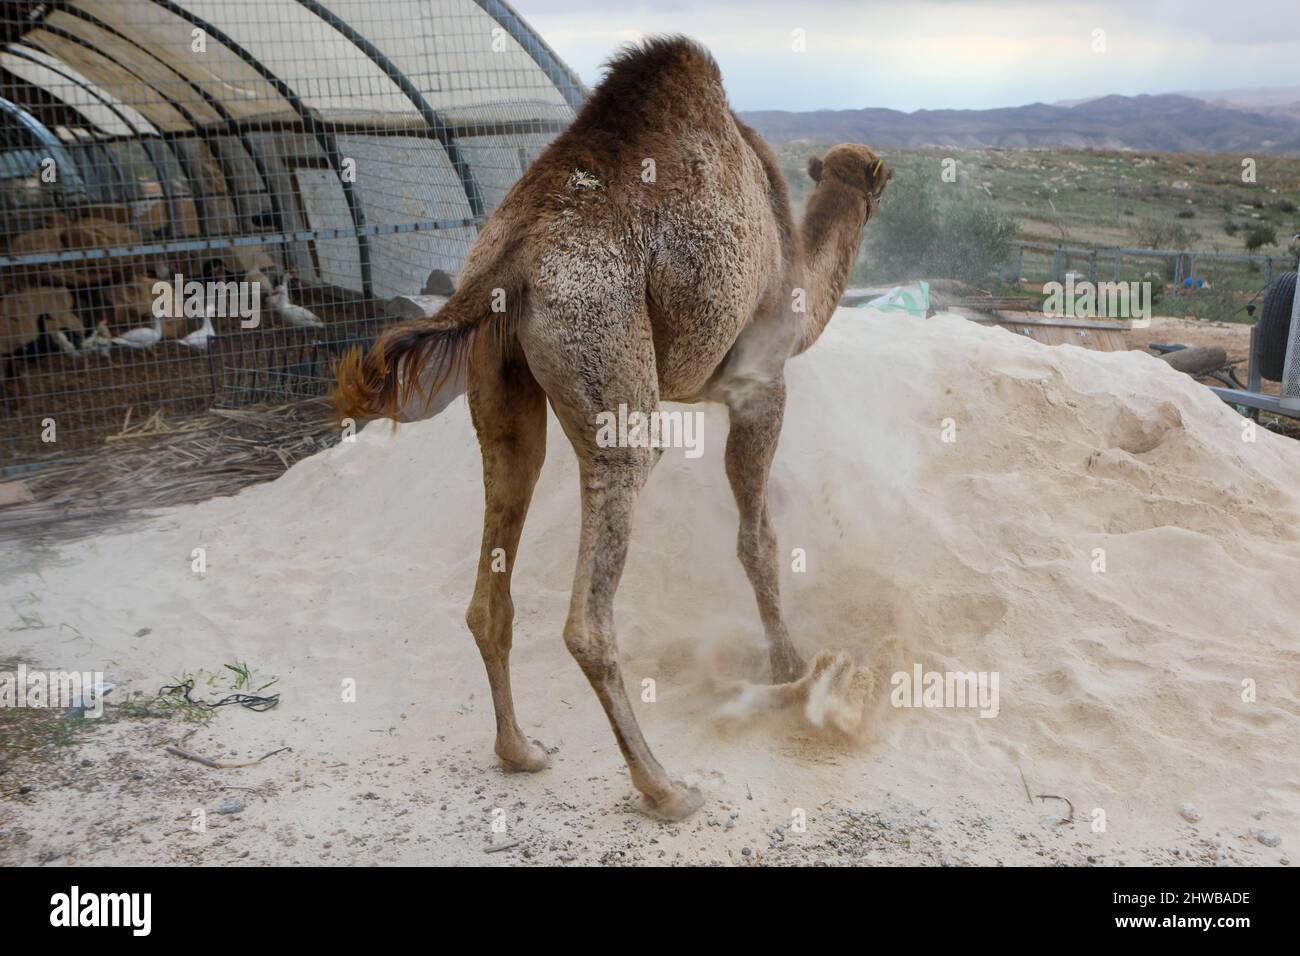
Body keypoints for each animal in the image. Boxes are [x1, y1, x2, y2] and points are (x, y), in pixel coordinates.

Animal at [333, 36, 890, 821]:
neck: (798, 268)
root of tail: (511, 257)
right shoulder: (761, 381)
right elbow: (759, 539)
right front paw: (789, 665)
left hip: (498, 382)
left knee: (497, 554)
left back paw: (521, 751)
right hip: (605, 347)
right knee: (594, 602)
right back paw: (664, 787)